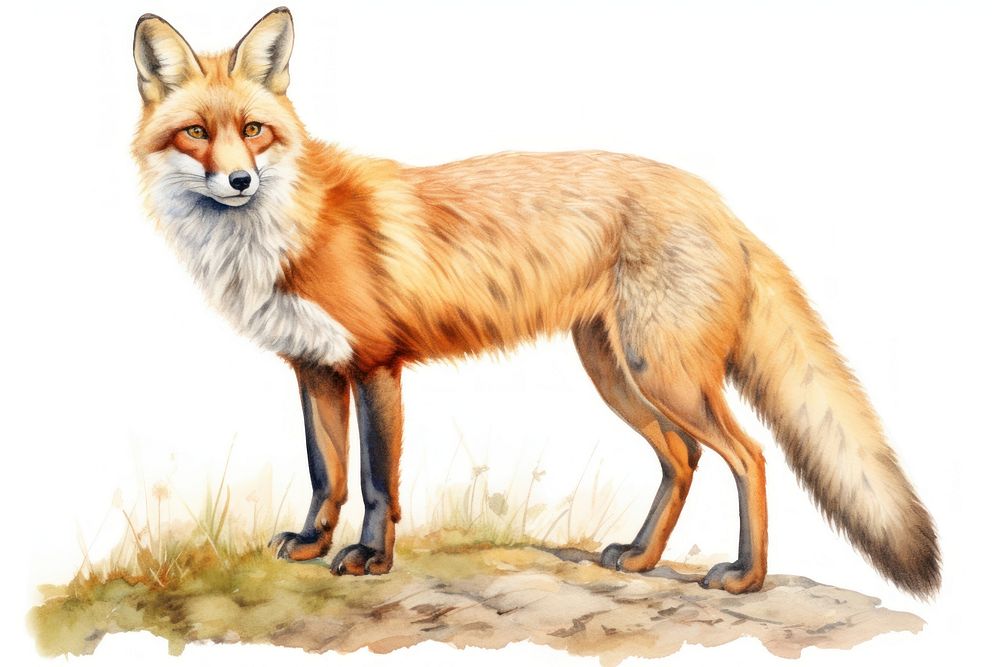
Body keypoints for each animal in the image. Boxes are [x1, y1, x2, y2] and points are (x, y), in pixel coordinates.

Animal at [132, 7, 940, 597]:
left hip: (663, 374)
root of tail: (718, 202)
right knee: (682, 459)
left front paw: (370, 558)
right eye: (197, 132)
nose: (238, 181)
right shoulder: (314, 367)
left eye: (255, 131)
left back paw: (746, 576)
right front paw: (309, 544)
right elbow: (324, 473)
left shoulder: (377, 365)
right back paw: (642, 558)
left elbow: (374, 480)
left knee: (751, 455)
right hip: (618, 374)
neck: (283, 234)